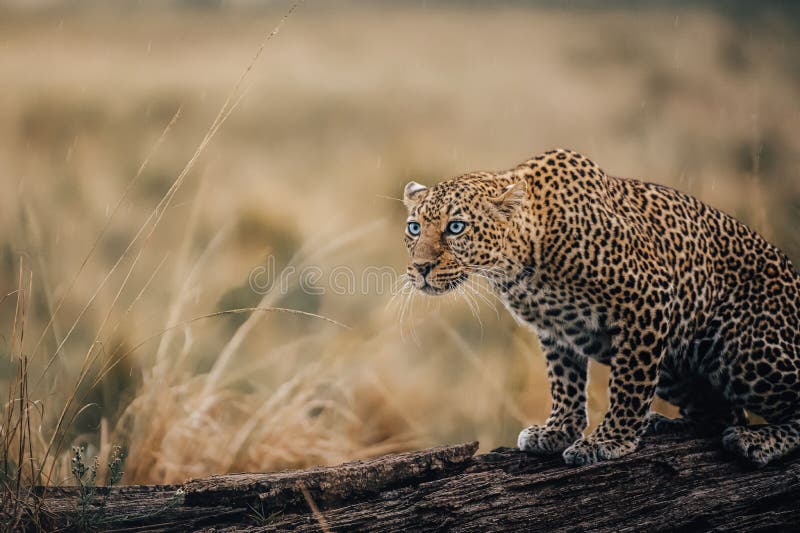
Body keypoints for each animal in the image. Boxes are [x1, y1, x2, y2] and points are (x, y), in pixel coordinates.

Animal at [401, 148, 800, 467]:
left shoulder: (648, 298)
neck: (519, 263)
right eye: (414, 227)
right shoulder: (555, 330)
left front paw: (609, 440)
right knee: (726, 412)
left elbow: (628, 383)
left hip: (742, 348)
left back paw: (758, 441)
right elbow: (563, 381)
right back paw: (665, 423)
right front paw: (557, 431)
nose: (420, 268)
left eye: (456, 227)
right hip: (676, 364)